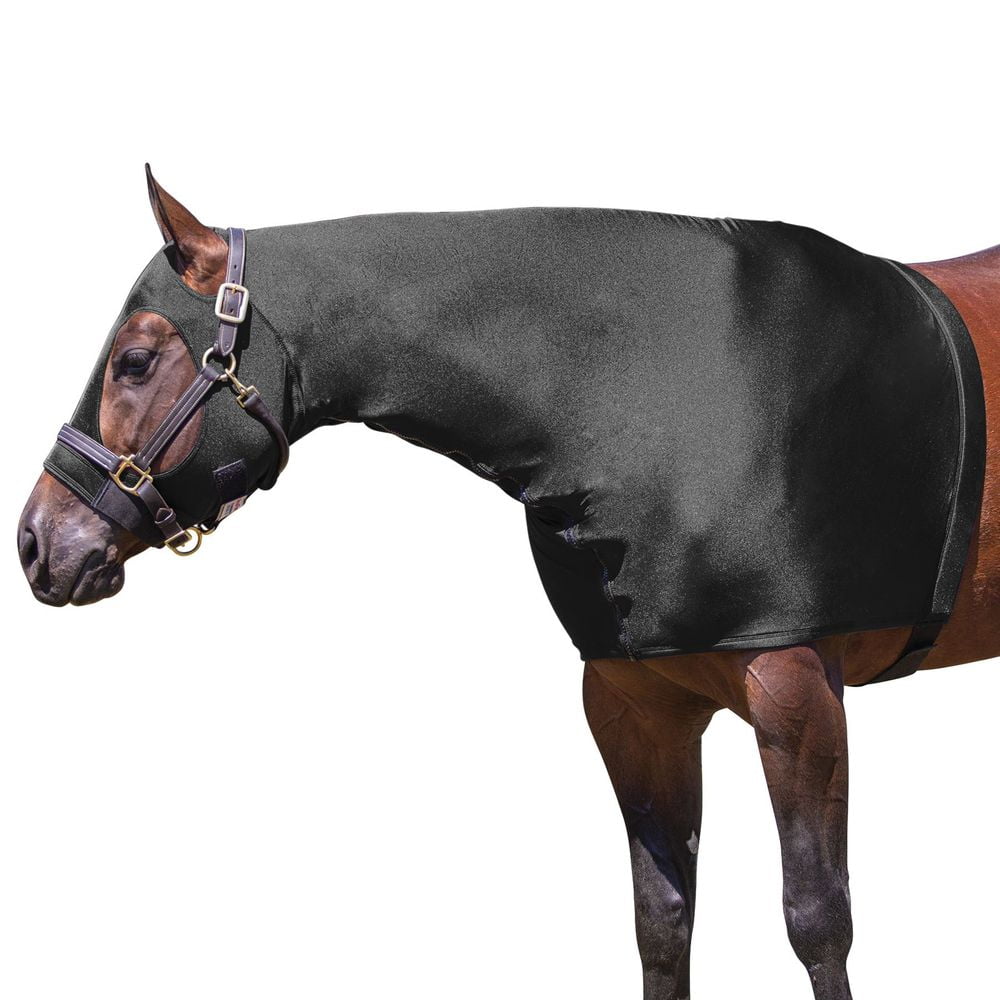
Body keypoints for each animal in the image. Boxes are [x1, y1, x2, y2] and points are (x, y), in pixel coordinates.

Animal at [17, 169, 1000, 1000]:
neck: (657, 384)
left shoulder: (797, 693)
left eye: (134, 361)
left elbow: (817, 921)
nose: (37, 543)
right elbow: (662, 923)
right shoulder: (634, 706)